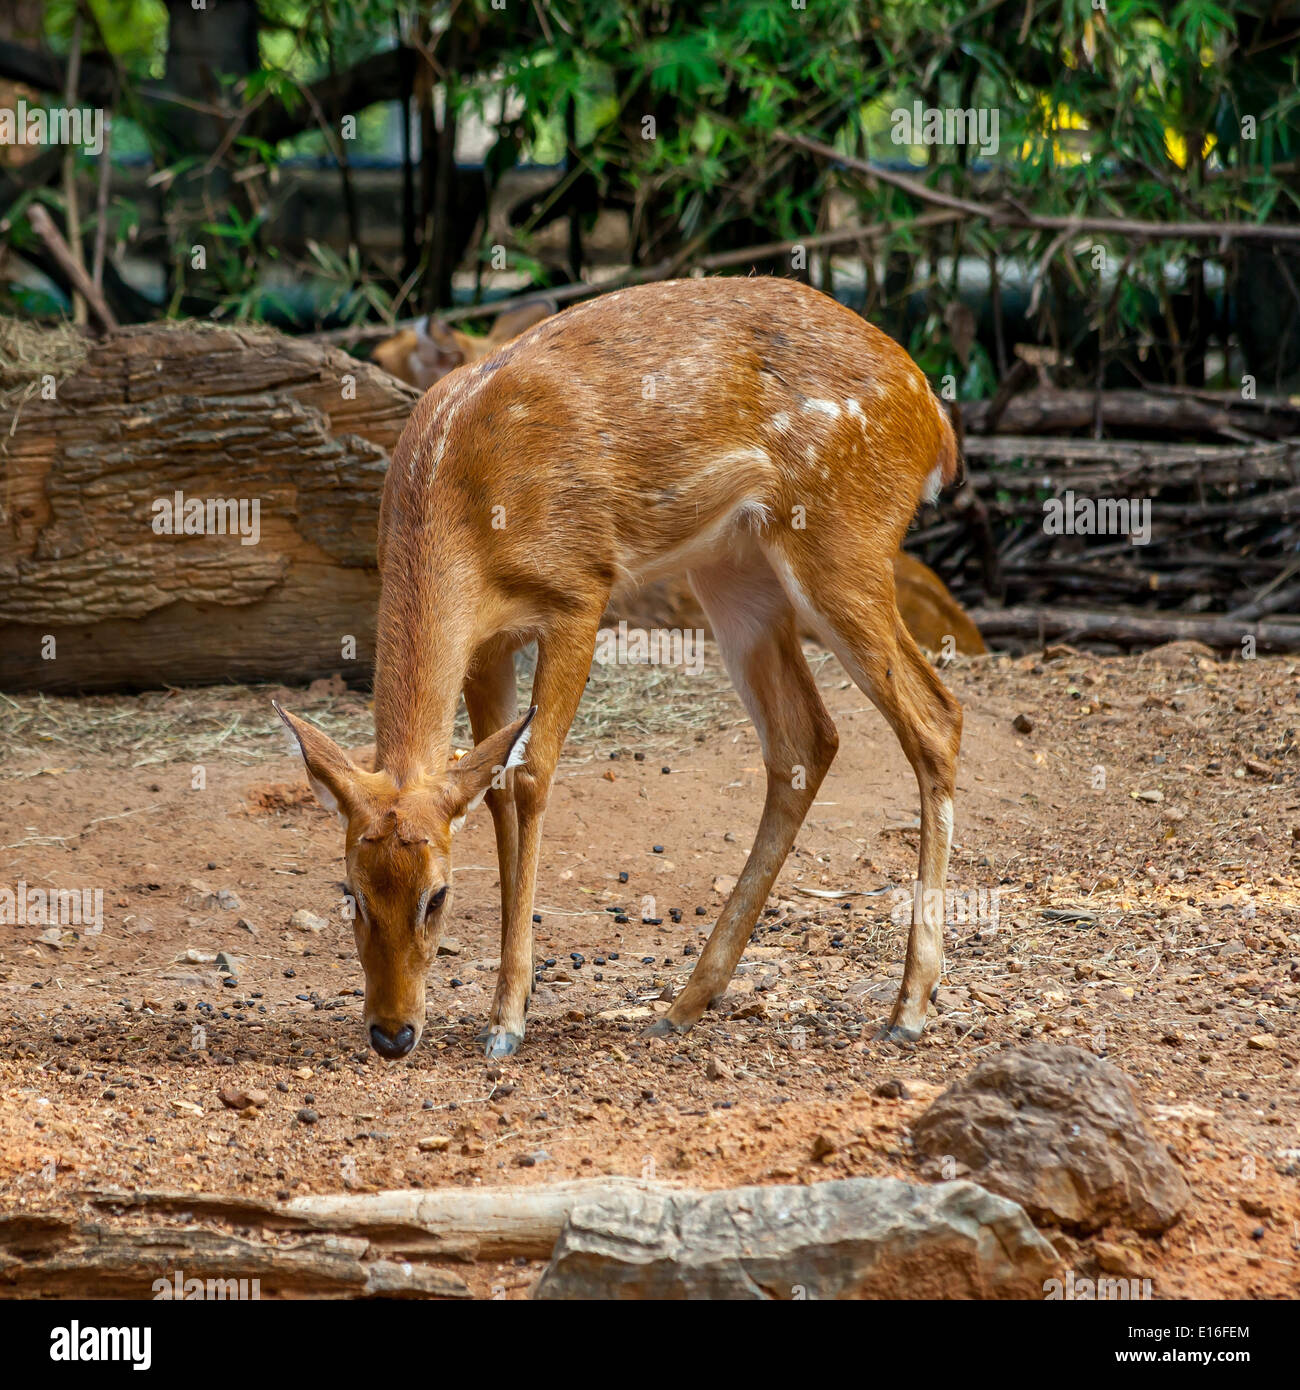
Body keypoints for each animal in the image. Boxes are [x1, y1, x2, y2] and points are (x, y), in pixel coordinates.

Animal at [276, 275, 963, 1061]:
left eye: (438, 895)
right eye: (351, 892)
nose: (392, 1034)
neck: (460, 510)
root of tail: (934, 420)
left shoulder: (580, 590)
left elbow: (531, 776)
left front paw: (507, 1019)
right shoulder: (488, 642)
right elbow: (495, 789)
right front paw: (513, 997)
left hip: (843, 538)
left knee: (935, 715)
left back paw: (909, 1008)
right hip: (735, 569)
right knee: (805, 739)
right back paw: (685, 1003)